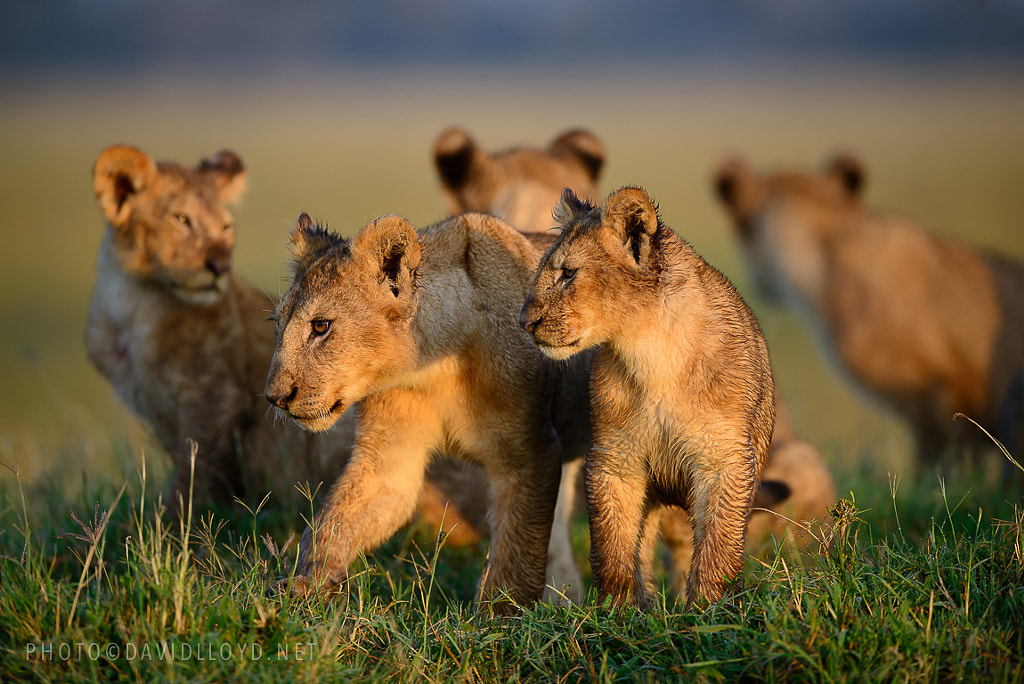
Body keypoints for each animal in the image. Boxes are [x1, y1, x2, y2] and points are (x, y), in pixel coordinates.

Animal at [264, 212, 574, 613]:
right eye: (278, 326)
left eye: (320, 326)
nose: (274, 397)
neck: (432, 364)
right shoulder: (387, 459)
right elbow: (334, 519)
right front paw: (303, 586)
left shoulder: (531, 453)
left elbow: (517, 554)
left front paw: (500, 618)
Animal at [520, 187, 776, 609]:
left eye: (568, 273)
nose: (524, 322)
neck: (651, 354)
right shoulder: (615, 459)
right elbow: (613, 543)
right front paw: (621, 609)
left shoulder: (724, 460)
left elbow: (718, 544)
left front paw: (710, 608)